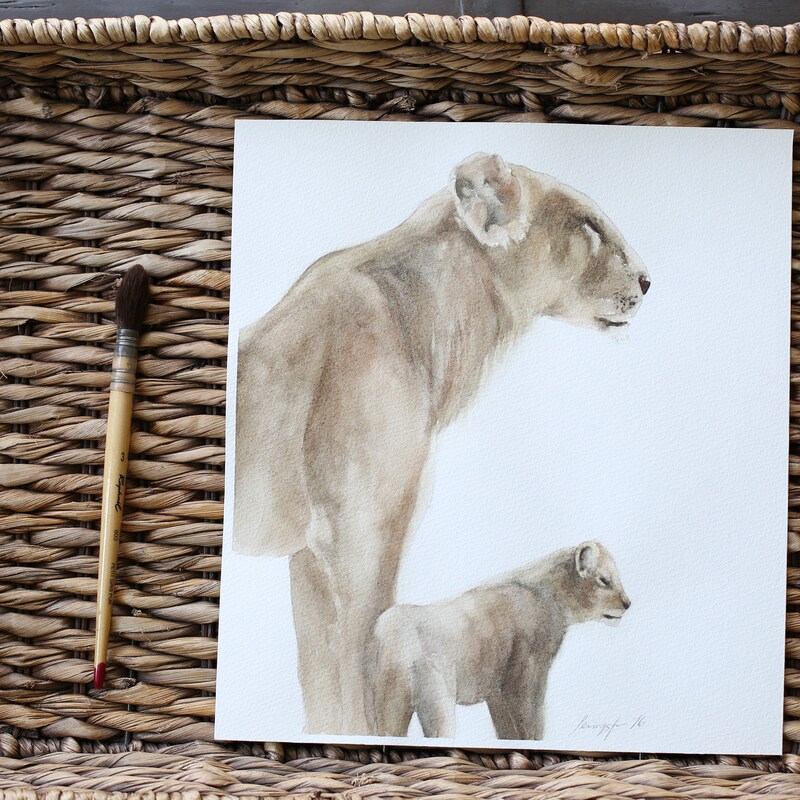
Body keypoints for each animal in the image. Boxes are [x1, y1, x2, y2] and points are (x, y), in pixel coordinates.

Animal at [369, 541, 631, 740]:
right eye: (604, 580)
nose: (627, 603)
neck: (545, 596)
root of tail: (393, 632)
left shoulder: (496, 690)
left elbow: (507, 729)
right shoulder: (528, 672)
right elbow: (531, 722)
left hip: (389, 699)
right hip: (436, 694)